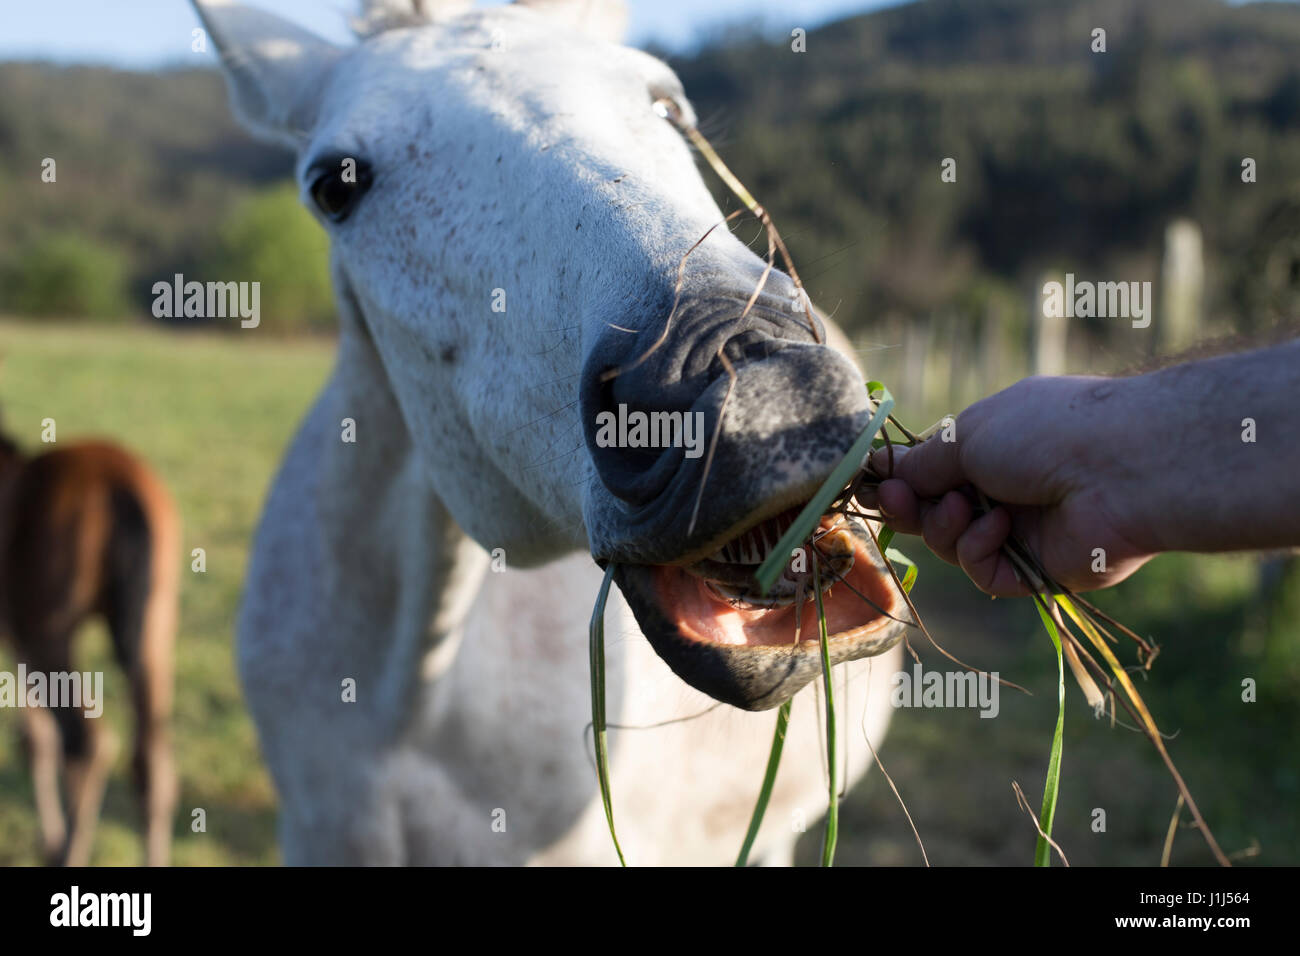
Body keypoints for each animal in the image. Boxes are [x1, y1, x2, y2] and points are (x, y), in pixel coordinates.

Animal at [0, 432, 179, 866]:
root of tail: (119, 485)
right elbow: (36, 739)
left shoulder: (19, 640)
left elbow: (35, 739)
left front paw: (51, 840)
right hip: (155, 632)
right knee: (152, 763)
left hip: (47, 634)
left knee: (86, 744)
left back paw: (68, 852)